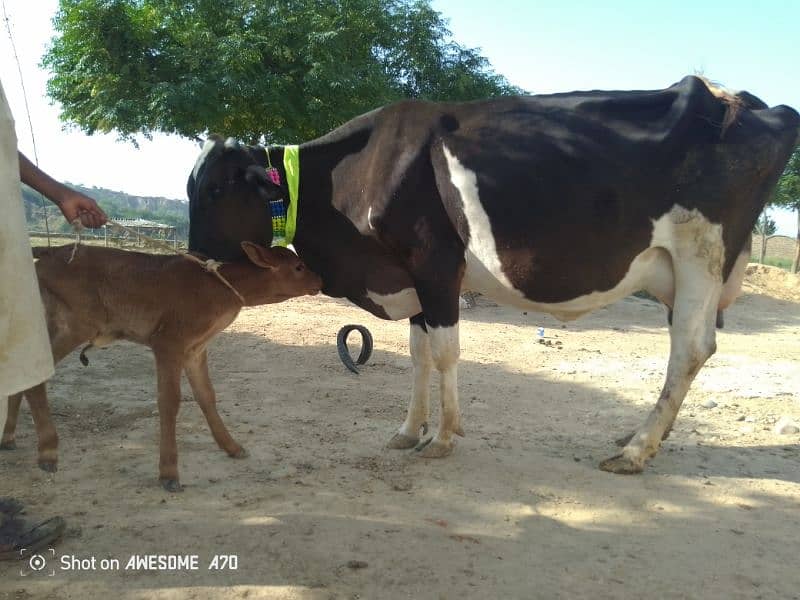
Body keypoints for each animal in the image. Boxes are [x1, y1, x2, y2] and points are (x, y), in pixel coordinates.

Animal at [186, 76, 799, 474]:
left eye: (214, 189)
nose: (194, 261)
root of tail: (738, 101)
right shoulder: (410, 277)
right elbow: (418, 354)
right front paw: (408, 431)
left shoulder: (435, 264)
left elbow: (445, 353)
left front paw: (441, 438)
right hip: (682, 267)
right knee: (688, 351)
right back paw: (641, 433)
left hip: (701, 252)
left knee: (691, 347)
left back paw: (634, 451)